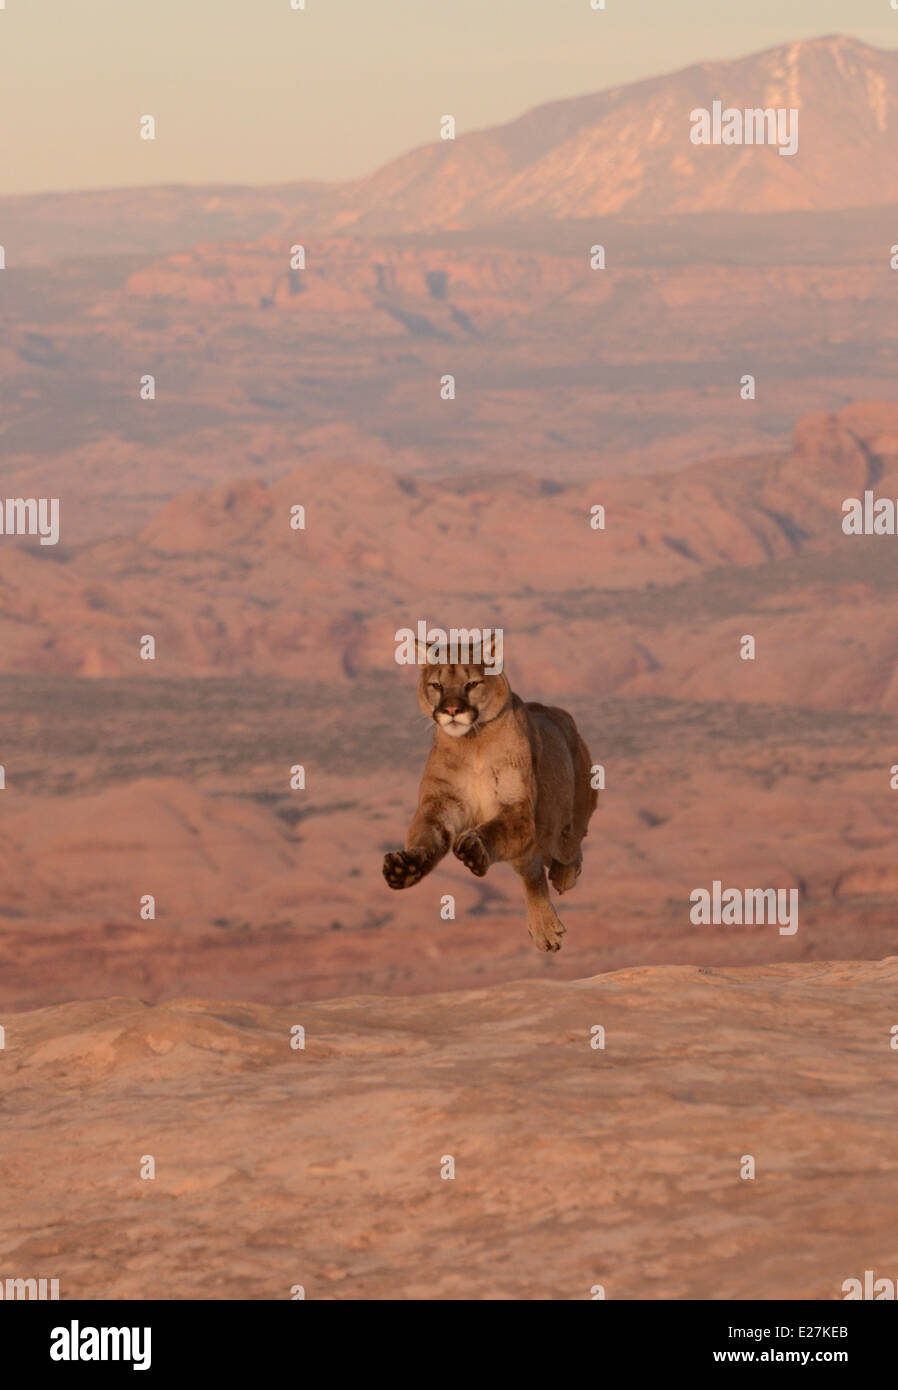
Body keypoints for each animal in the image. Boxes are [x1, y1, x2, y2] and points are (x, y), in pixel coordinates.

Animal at [382, 648, 597, 951]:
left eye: (471, 684)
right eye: (437, 686)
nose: (451, 711)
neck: (473, 742)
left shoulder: (518, 810)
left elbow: (494, 831)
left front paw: (474, 849)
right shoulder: (440, 804)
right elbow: (426, 838)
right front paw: (404, 868)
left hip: (566, 822)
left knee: (567, 848)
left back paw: (563, 878)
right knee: (532, 871)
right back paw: (545, 925)